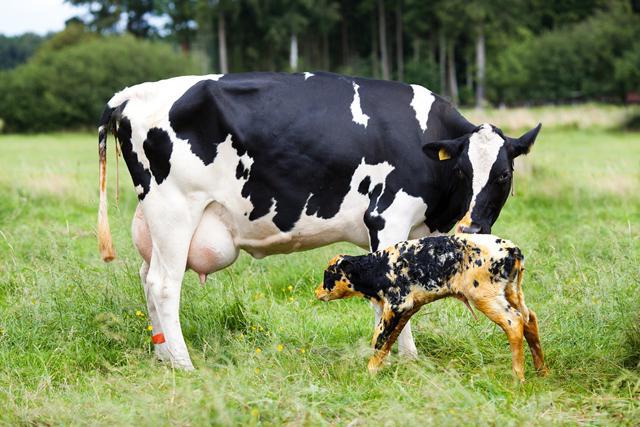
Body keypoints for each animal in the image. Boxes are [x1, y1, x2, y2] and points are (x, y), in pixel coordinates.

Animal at [316, 234, 544, 382]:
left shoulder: (396, 304)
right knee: (529, 319)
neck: (379, 266)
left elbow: (379, 340)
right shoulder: (407, 309)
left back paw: (518, 377)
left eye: (327, 274)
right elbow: (389, 340)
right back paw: (542, 372)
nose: (316, 291)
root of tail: (512, 249)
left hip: (486, 297)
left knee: (514, 322)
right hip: (512, 292)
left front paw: (369, 373)